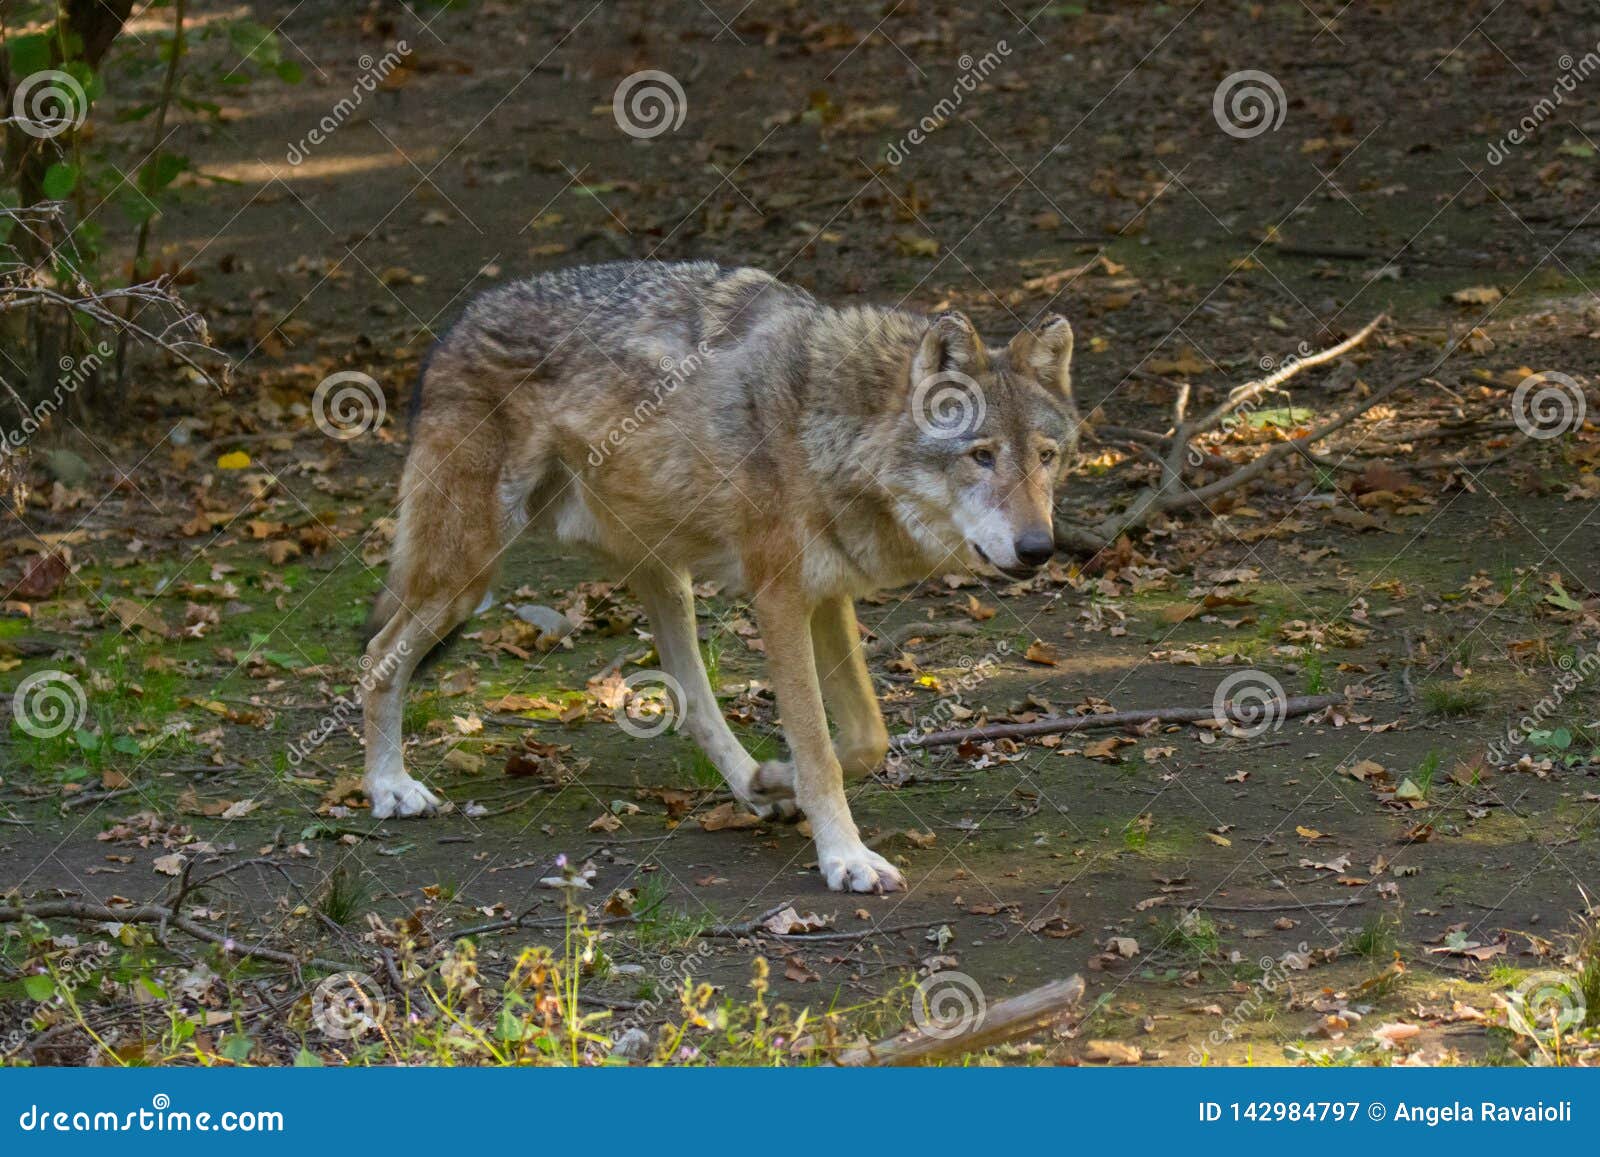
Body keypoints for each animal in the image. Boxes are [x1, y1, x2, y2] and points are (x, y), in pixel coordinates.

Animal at [362, 261, 1079, 893]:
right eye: (981, 455)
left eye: (1046, 457)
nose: (1039, 549)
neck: (833, 424)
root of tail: (455, 327)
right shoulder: (780, 597)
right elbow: (820, 749)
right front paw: (845, 859)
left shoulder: (828, 595)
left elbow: (865, 739)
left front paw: (778, 777)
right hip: (468, 573)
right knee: (376, 658)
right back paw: (390, 788)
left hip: (662, 576)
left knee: (694, 703)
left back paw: (753, 786)